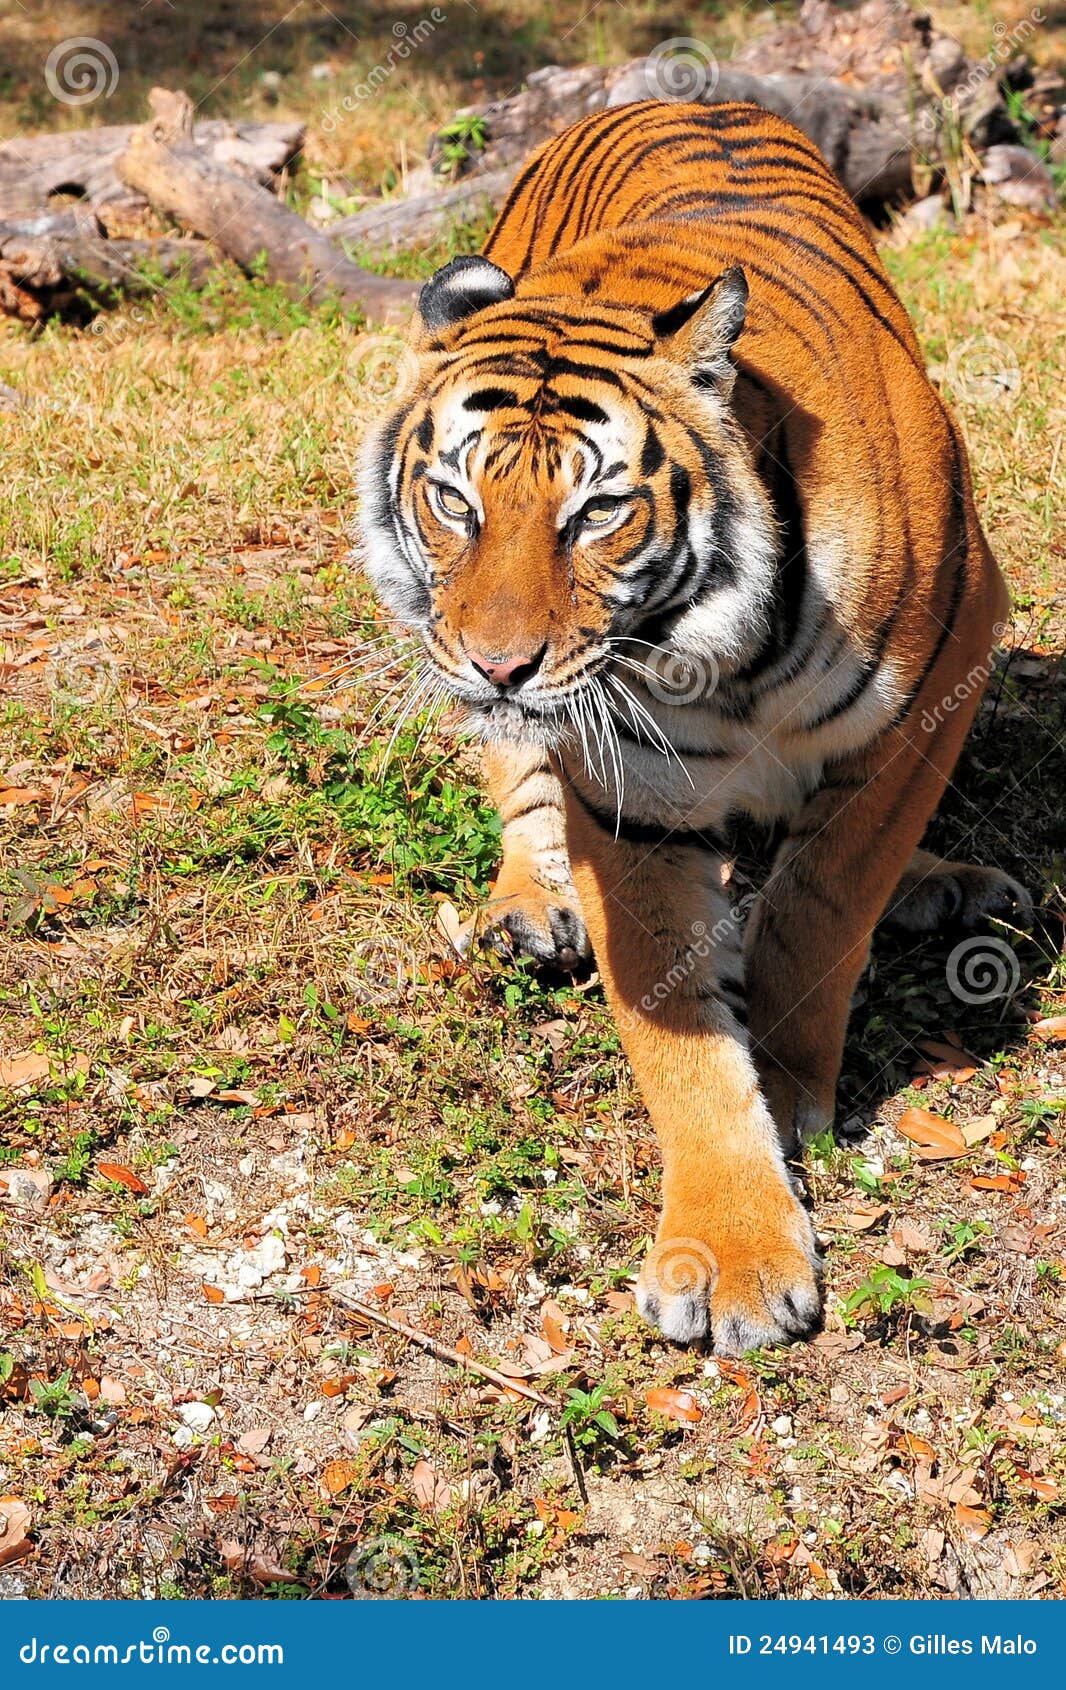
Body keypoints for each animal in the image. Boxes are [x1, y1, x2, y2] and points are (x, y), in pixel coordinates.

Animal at [357, 100, 1030, 1354]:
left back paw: (940, 881)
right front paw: (732, 1248)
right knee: (521, 787)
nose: (497, 663)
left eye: (598, 512)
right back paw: (531, 907)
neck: (709, 659)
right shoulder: (628, 792)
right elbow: (671, 1019)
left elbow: (820, 908)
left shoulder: (940, 675)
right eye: (455, 501)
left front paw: (792, 1084)